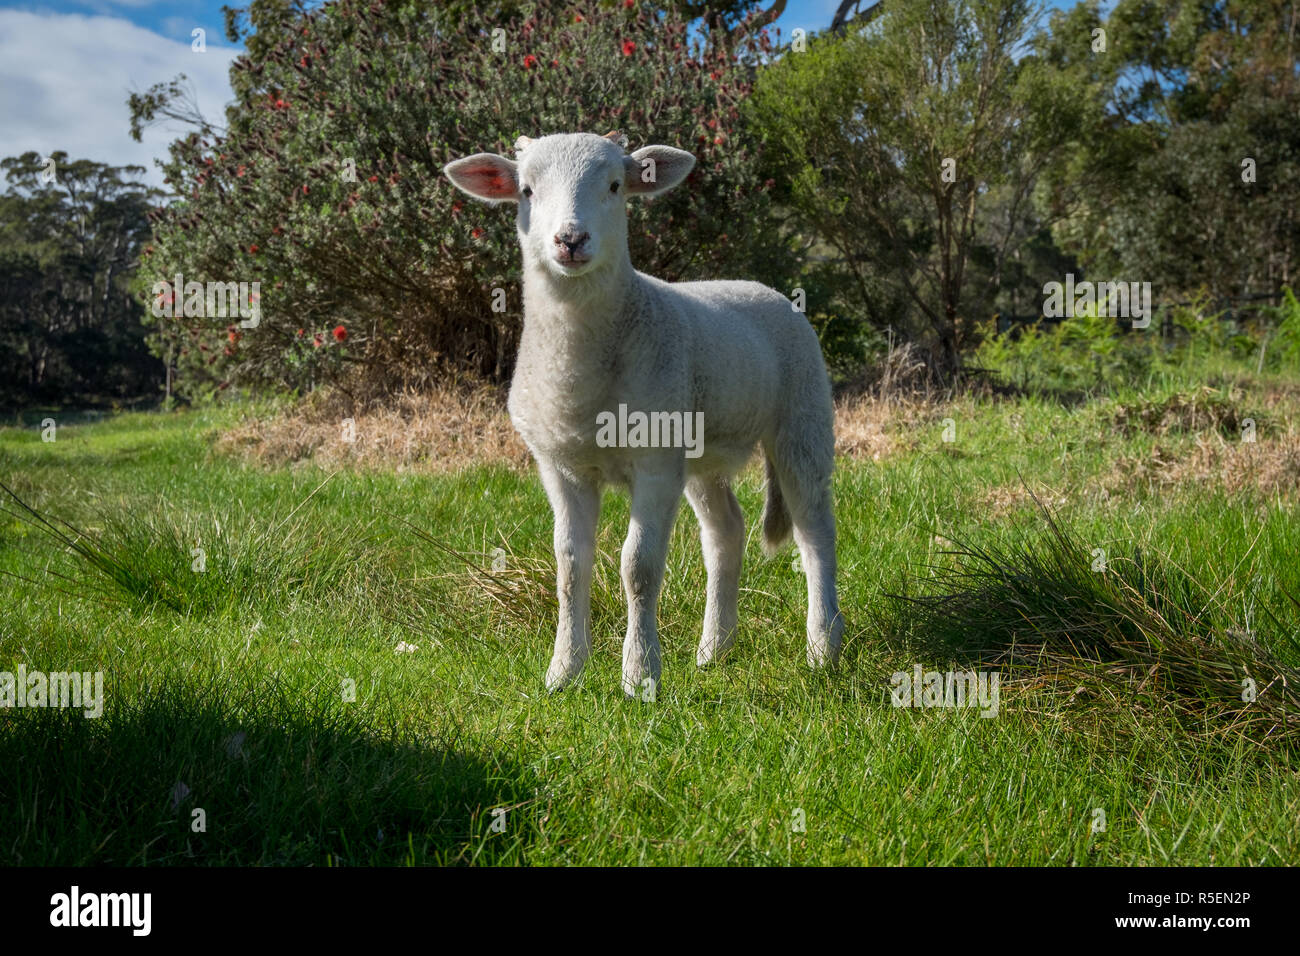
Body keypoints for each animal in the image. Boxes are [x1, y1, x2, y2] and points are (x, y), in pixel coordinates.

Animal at [444, 131, 844, 697]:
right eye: (525, 190)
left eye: (615, 185)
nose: (570, 240)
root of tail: (760, 287)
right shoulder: (562, 467)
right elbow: (570, 565)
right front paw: (564, 672)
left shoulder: (655, 462)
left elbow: (639, 566)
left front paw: (639, 675)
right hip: (698, 453)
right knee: (725, 532)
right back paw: (714, 649)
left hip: (802, 418)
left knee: (815, 531)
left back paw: (823, 647)